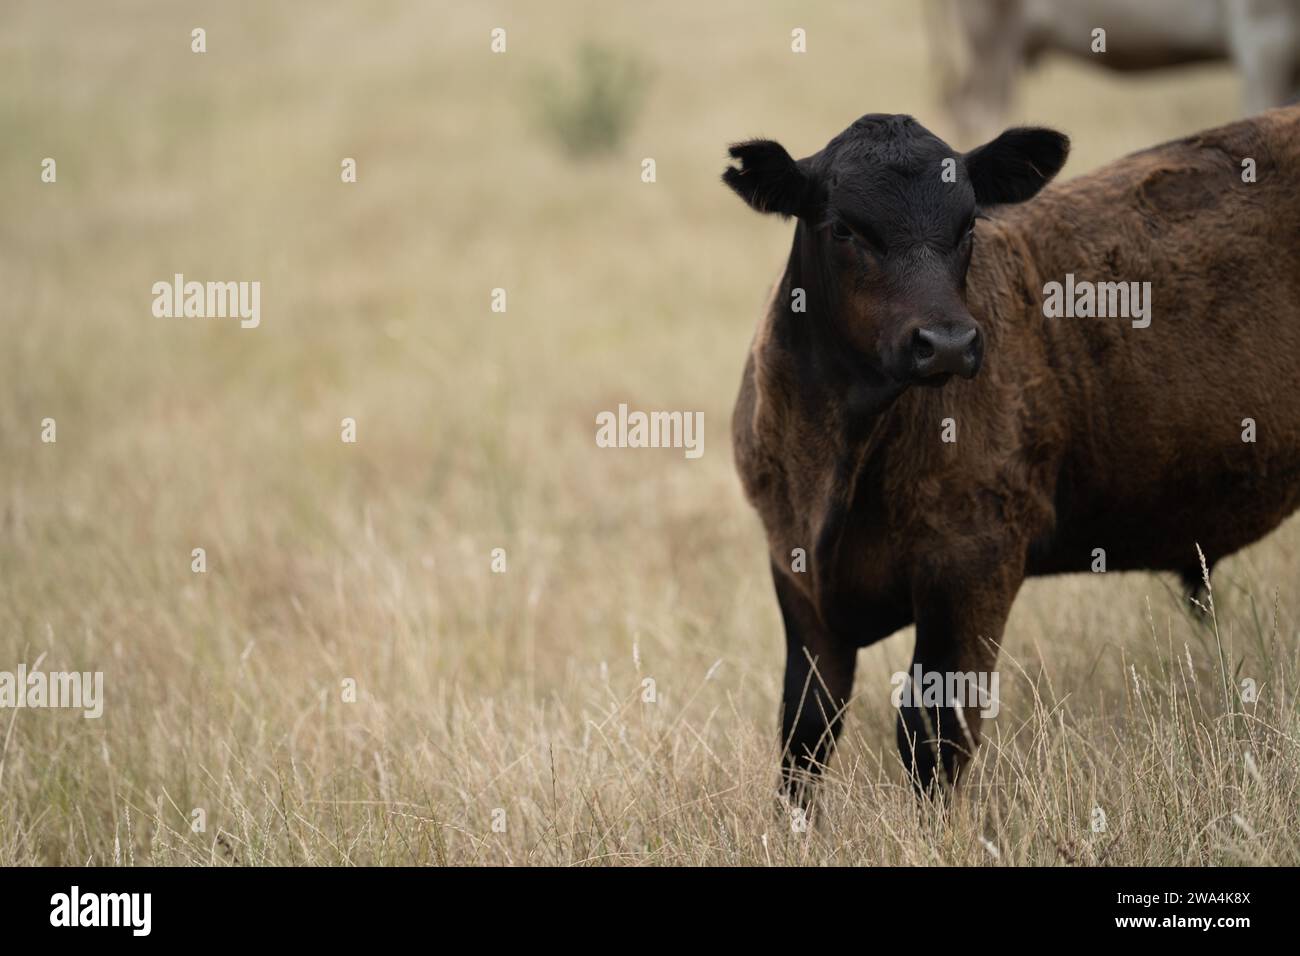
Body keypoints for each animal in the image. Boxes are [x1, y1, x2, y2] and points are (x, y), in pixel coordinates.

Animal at [723, 106, 1300, 804]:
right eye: (843, 228)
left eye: (969, 223)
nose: (947, 342)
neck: (839, 452)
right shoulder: (796, 572)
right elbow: (805, 732)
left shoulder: (975, 564)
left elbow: (934, 734)